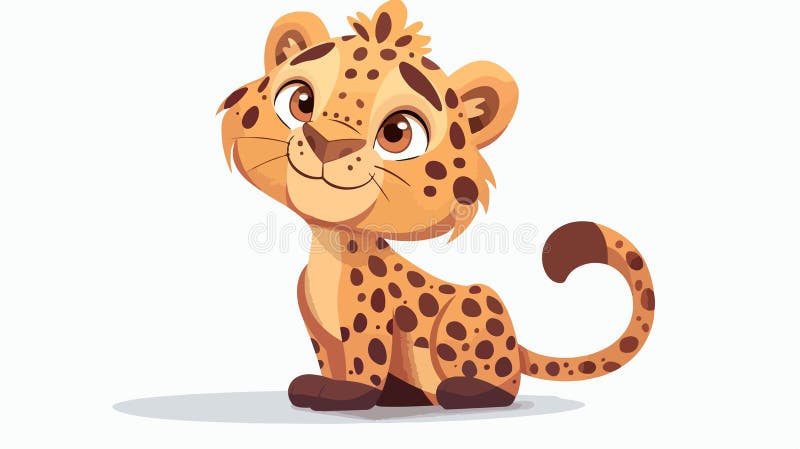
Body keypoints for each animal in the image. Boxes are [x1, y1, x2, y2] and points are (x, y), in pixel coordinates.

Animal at [217, 0, 655, 410]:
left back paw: (462, 391)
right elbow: (329, 359)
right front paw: (318, 386)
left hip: (473, 307)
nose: (329, 142)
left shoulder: (371, 324)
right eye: (300, 101)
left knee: (504, 382)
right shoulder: (319, 334)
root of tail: (516, 344)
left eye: (397, 133)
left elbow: (363, 363)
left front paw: (346, 395)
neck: (331, 245)